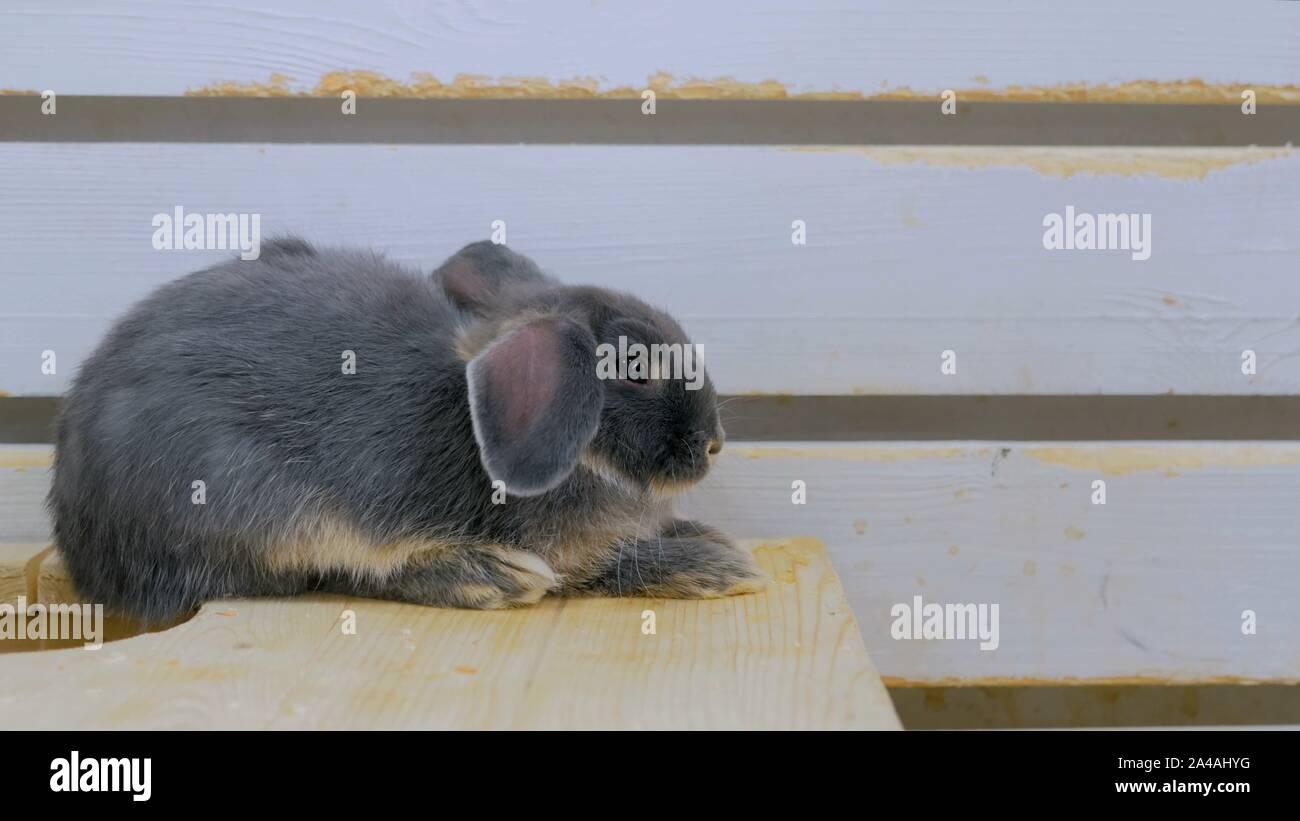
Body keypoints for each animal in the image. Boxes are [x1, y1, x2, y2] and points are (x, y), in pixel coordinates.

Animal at [48, 238, 764, 623]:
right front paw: (719, 565)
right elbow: (607, 563)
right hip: (256, 499)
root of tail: (84, 550)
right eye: (637, 370)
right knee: (337, 573)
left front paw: (702, 536)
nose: (714, 443)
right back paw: (489, 576)